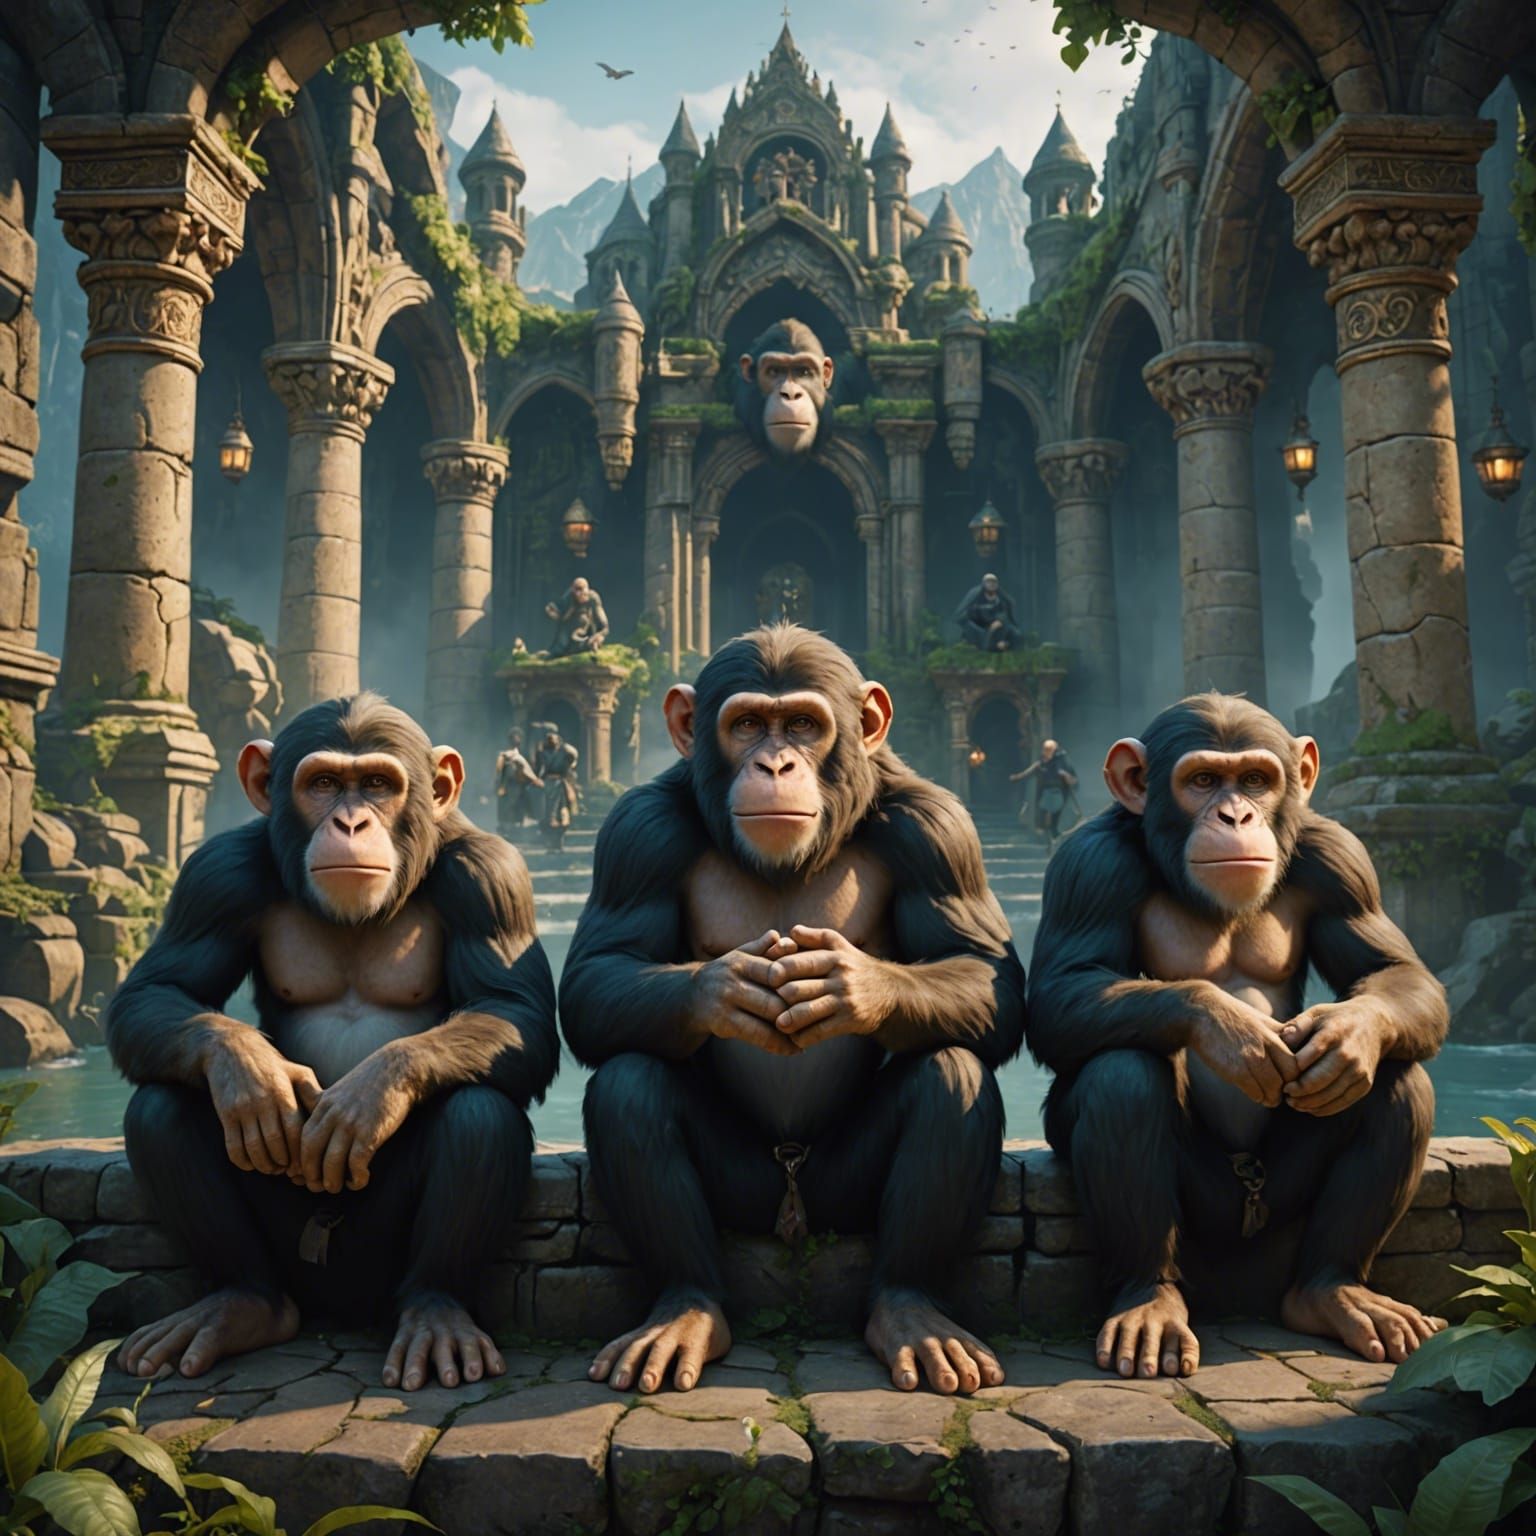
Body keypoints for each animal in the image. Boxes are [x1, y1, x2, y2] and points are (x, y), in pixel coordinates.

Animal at [105, 693, 557, 1391]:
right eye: (321, 784)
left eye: (377, 784)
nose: (349, 822)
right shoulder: (215, 873)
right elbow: (159, 988)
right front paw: (253, 1075)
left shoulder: (490, 875)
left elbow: (515, 1012)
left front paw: (370, 1098)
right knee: (162, 1104)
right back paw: (239, 1305)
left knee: (480, 1112)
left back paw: (433, 1315)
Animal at [559, 625, 1026, 1397]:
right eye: (748, 724)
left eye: (804, 725)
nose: (775, 763)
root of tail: (791, 1189)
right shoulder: (635, 832)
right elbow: (596, 974)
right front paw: (723, 988)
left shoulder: (937, 828)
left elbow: (987, 974)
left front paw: (850, 985)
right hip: (747, 1191)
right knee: (631, 1081)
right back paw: (686, 1312)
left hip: (839, 1193)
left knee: (949, 1071)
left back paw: (911, 1314)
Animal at [1026, 693, 1448, 1382]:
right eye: (1201, 781)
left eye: (1254, 779)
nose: (1235, 814)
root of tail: (1247, 1196)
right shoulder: (1088, 865)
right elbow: (1062, 990)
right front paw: (1232, 1031)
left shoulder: (1342, 861)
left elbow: (1392, 971)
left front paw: (1347, 1035)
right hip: (1208, 1204)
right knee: (1121, 1074)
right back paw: (1149, 1302)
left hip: (1281, 1195)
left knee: (1395, 1077)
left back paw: (1335, 1291)